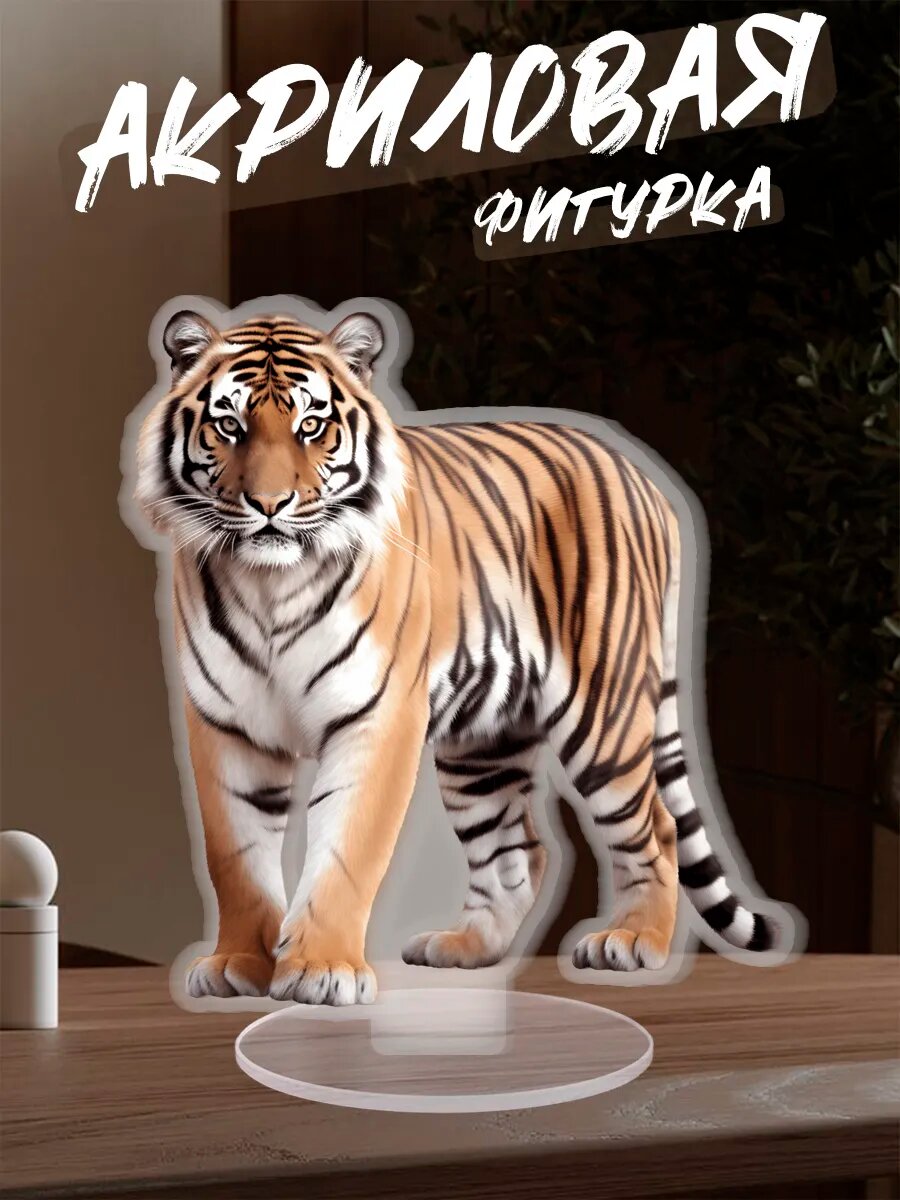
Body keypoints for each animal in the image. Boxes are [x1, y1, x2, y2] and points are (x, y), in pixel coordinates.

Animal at [135, 306, 780, 1006]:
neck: (270, 585)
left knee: (655, 829)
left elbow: (346, 850)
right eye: (230, 424)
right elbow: (236, 856)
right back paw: (464, 948)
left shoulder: (376, 717)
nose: (271, 506)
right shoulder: (227, 725)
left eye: (312, 426)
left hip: (602, 714)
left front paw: (322, 969)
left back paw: (633, 941)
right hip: (484, 742)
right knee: (520, 851)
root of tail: (642, 475)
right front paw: (240, 963)